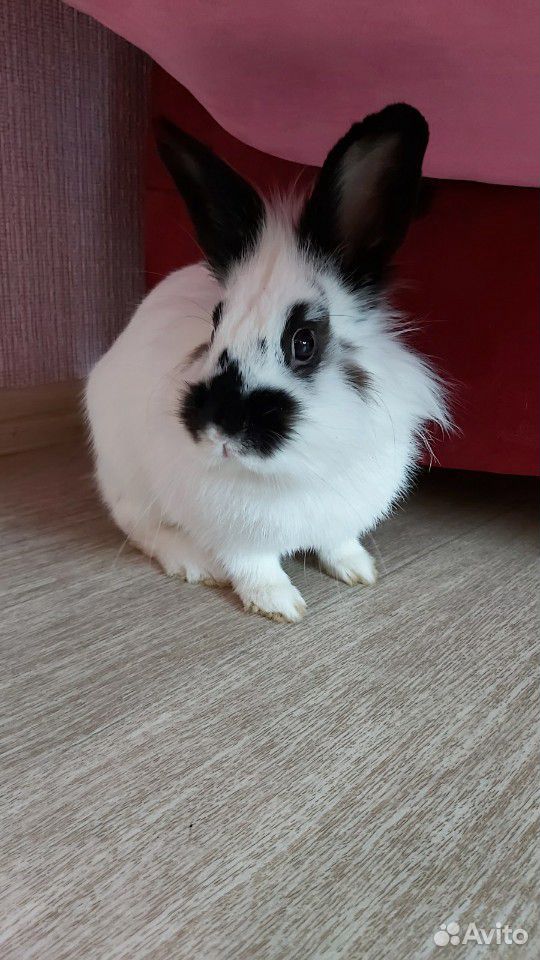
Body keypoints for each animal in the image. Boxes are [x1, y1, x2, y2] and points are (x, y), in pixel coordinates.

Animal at [85, 103, 449, 623]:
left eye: (304, 342)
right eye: (215, 325)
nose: (218, 430)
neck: (296, 470)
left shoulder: (342, 516)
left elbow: (338, 542)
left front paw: (359, 570)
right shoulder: (235, 536)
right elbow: (254, 567)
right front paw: (280, 605)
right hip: (127, 478)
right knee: (140, 528)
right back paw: (193, 562)